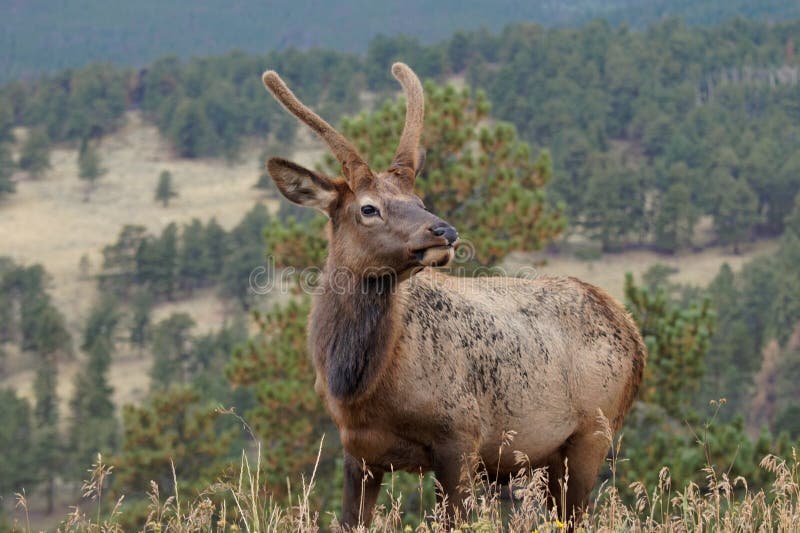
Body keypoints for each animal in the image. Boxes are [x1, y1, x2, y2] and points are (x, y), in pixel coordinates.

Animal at [261, 62, 646, 530]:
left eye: (418, 198)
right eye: (368, 207)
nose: (443, 230)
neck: (356, 384)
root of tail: (632, 331)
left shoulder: (460, 435)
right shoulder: (358, 451)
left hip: (593, 431)